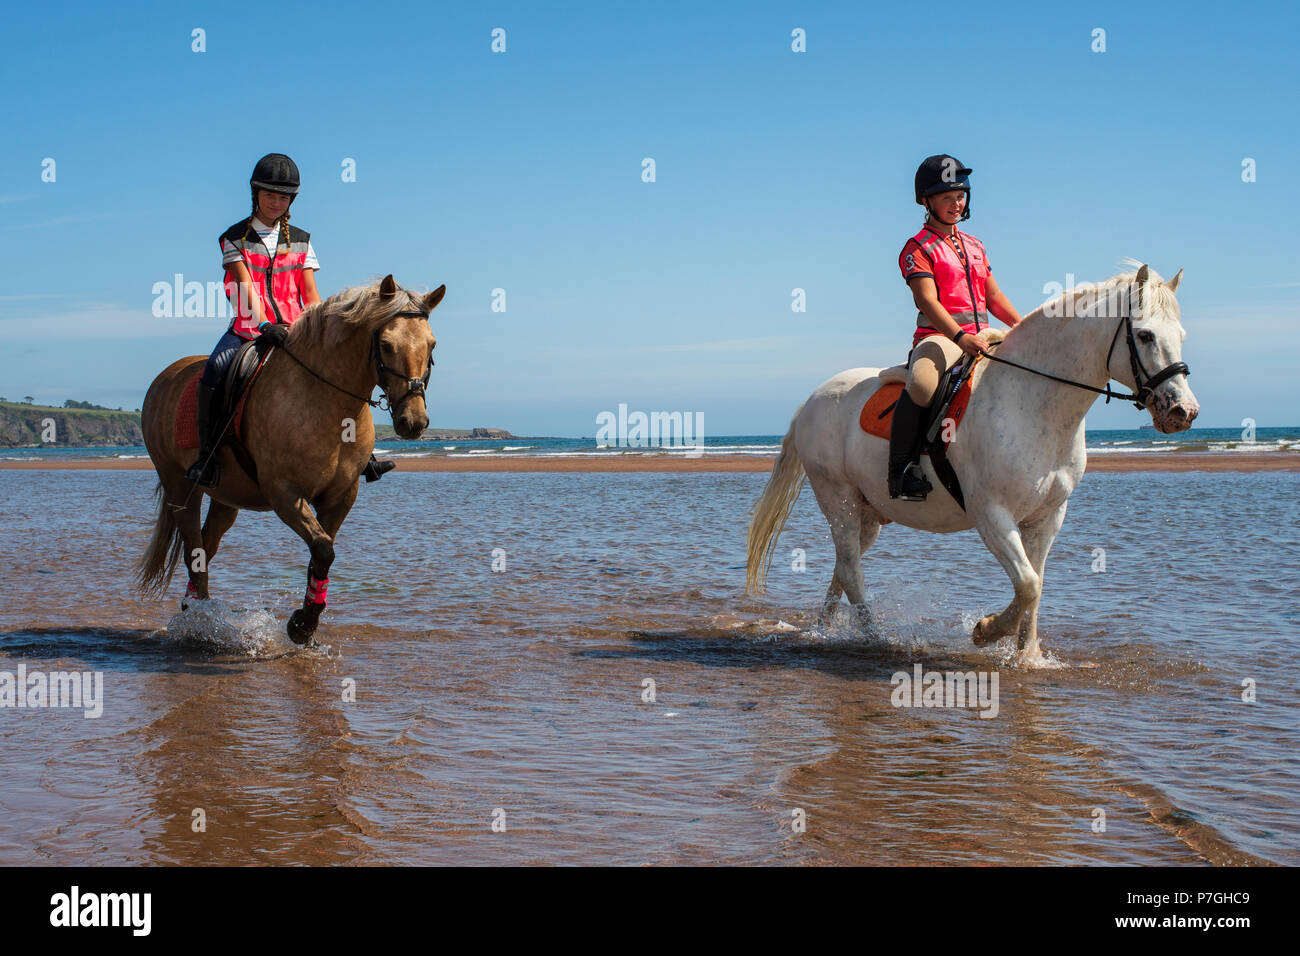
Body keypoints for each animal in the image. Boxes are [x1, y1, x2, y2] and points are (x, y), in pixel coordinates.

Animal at [137, 275, 445, 644]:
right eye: (385, 344)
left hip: (226, 496)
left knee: (206, 548)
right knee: (192, 549)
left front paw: (306, 622)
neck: (327, 402)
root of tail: (166, 376)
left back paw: (198, 610)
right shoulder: (284, 493)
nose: (413, 422)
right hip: (179, 487)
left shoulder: (341, 496)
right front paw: (302, 624)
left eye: (432, 345)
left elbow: (321, 555)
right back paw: (200, 620)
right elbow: (323, 549)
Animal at [745, 263, 1198, 665]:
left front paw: (1028, 656)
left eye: (1180, 336)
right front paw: (985, 631)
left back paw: (823, 630)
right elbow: (1028, 585)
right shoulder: (991, 514)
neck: (1032, 401)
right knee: (852, 572)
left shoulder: (1048, 517)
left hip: (866, 513)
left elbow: (1036, 587)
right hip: (836, 498)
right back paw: (875, 639)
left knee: (843, 566)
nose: (1183, 412)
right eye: (1144, 335)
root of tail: (812, 399)